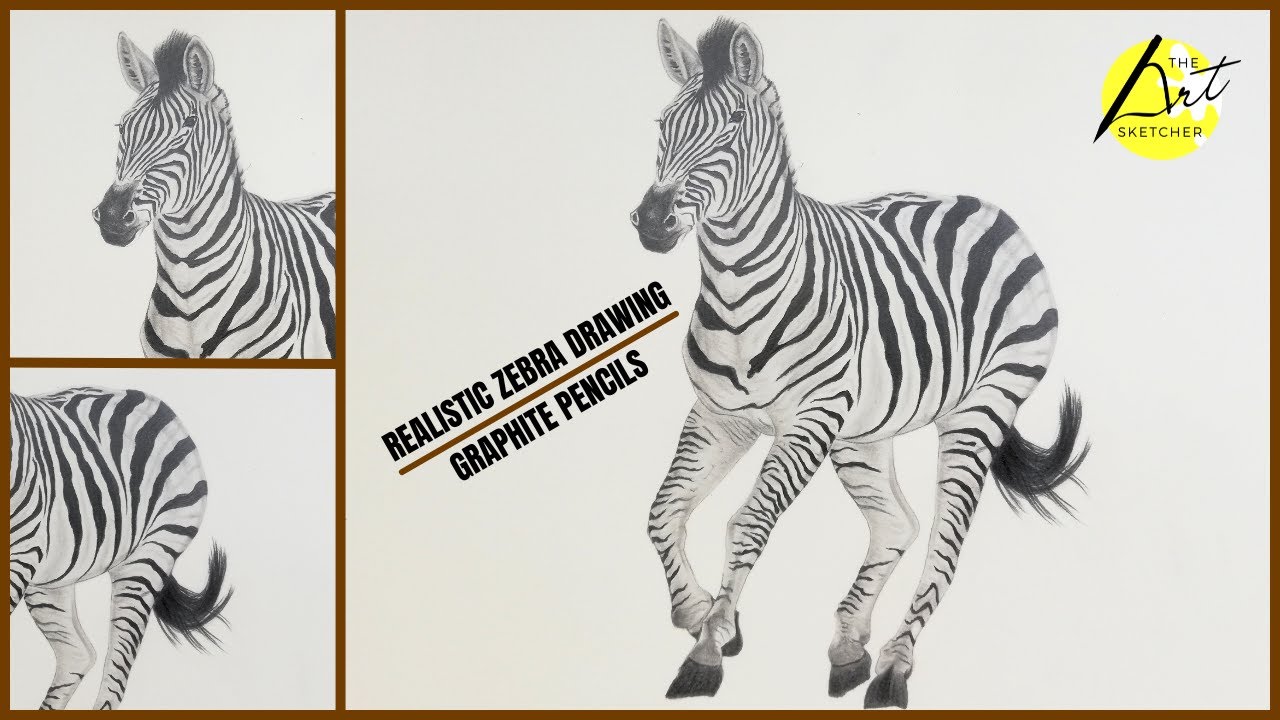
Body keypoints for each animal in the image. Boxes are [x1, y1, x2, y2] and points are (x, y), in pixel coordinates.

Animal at [634, 18, 1089, 708]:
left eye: (734, 123)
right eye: (664, 123)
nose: (653, 221)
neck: (738, 293)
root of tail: (984, 205)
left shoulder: (808, 419)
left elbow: (747, 522)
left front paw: (707, 650)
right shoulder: (719, 415)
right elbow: (662, 513)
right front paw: (699, 615)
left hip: (979, 407)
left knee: (944, 544)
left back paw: (894, 669)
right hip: (865, 428)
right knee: (896, 524)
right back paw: (850, 650)